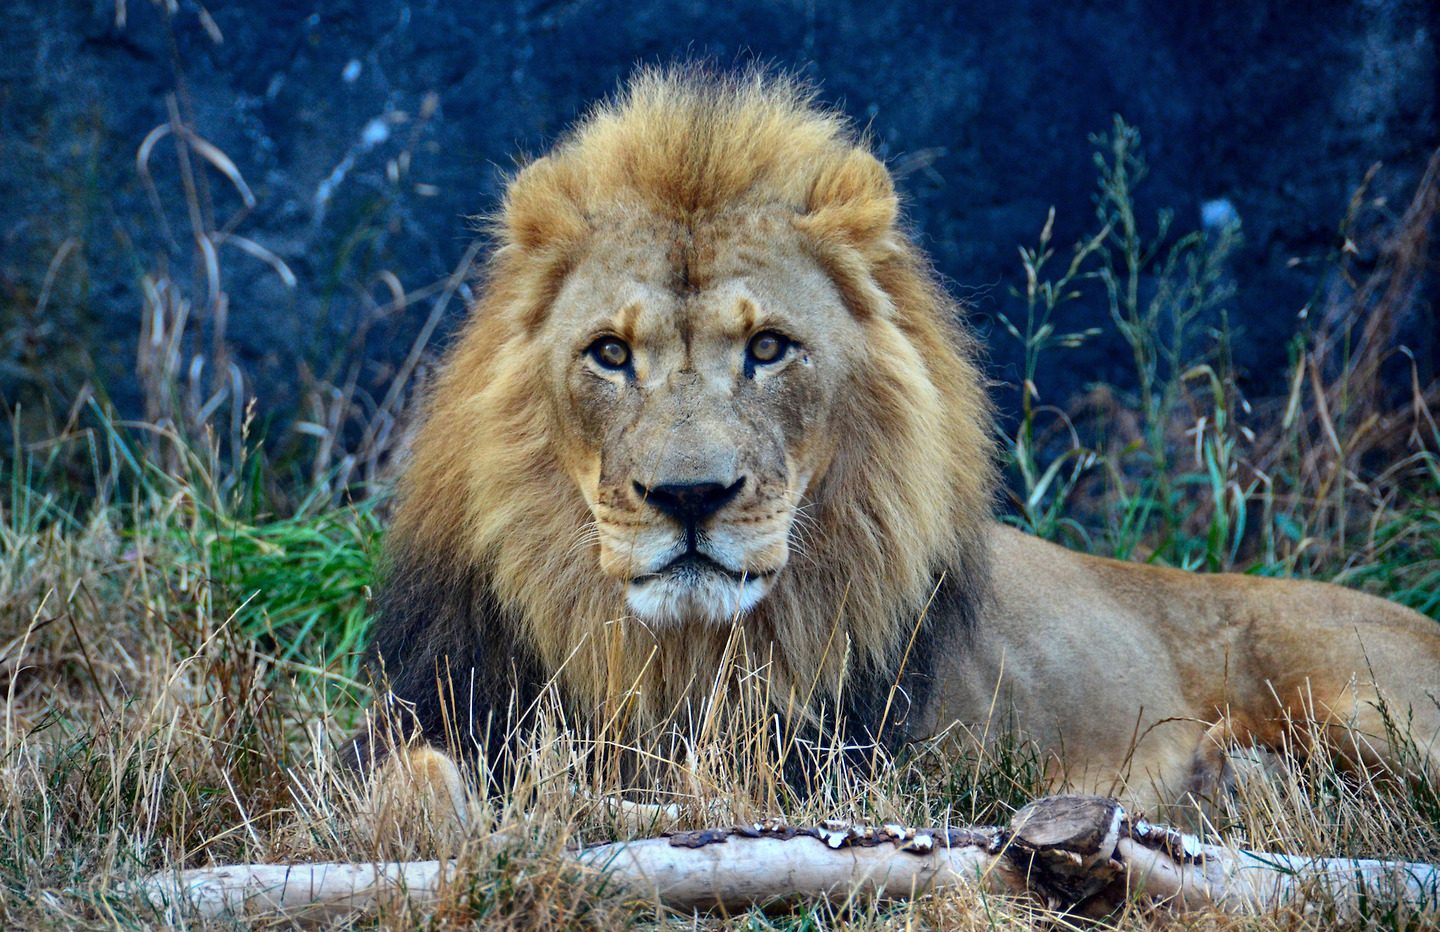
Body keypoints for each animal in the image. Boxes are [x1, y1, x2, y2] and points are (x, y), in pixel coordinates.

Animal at [354, 66, 1440, 826]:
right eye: (610, 353)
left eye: (768, 347)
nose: (690, 497)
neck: (669, 655)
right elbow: (395, 786)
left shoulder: (831, 775)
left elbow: (686, 798)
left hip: (1371, 709)